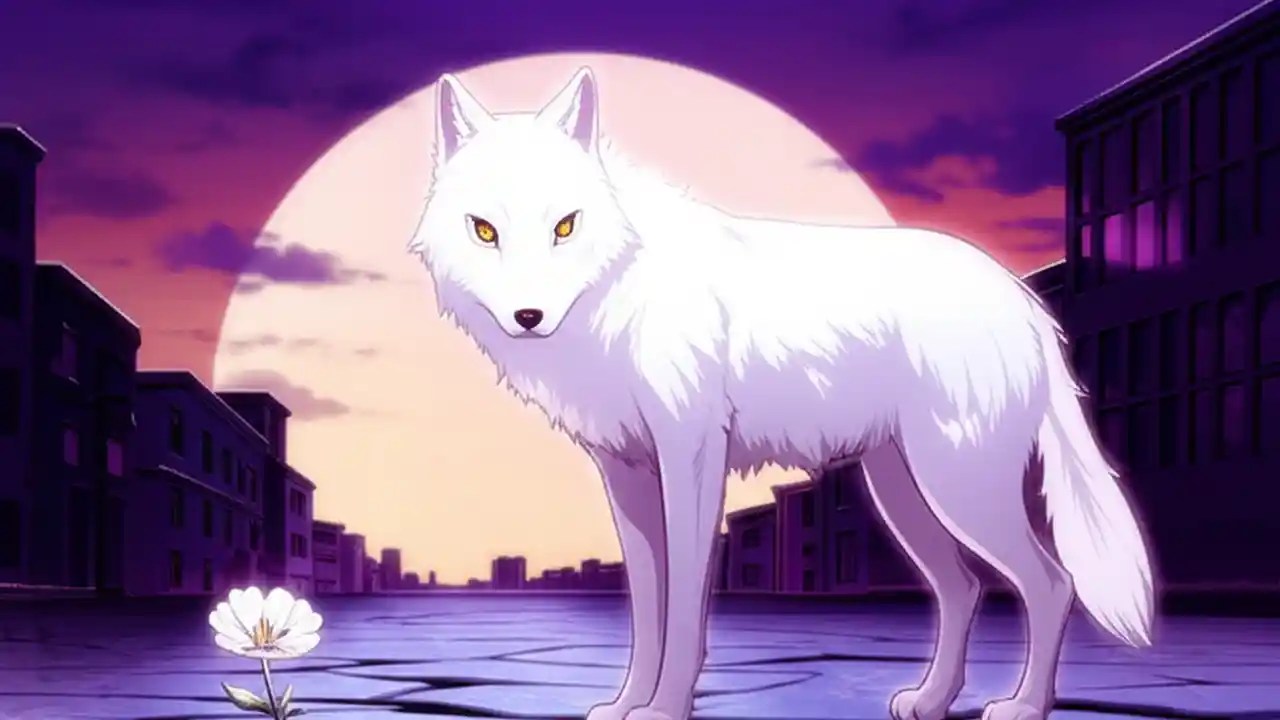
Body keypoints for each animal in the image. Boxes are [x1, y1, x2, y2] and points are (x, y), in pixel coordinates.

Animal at [408, 67, 1155, 720]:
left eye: (566, 225)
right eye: (484, 230)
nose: (528, 317)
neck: (619, 293)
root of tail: (1024, 298)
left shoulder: (691, 456)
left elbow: (685, 612)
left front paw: (664, 709)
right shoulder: (625, 476)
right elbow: (646, 609)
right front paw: (625, 706)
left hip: (959, 488)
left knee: (1050, 584)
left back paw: (1024, 706)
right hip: (904, 491)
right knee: (964, 587)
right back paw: (931, 701)